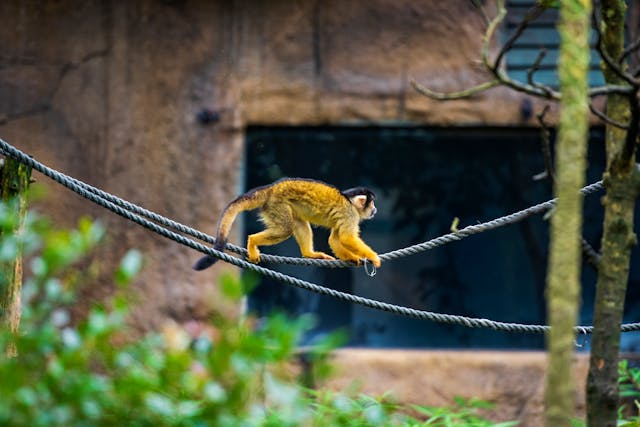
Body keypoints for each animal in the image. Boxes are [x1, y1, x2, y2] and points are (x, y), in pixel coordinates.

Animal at [193, 178, 380, 271]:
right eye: (371, 203)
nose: (375, 210)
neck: (349, 201)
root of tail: (271, 188)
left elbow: (335, 239)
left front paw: (354, 257)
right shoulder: (350, 214)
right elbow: (346, 237)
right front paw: (373, 257)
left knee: (298, 223)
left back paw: (310, 254)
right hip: (277, 204)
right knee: (285, 229)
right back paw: (252, 242)